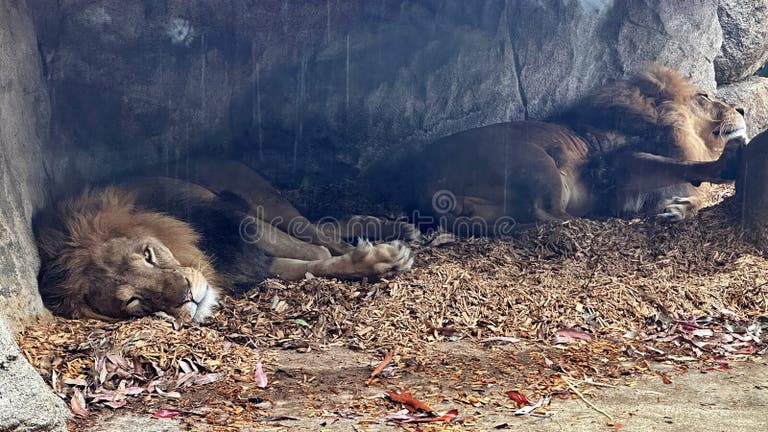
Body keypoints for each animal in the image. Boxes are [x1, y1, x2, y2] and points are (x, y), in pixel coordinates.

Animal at [35, 160, 416, 323]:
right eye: (132, 301)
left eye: (148, 255)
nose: (188, 295)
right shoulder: (249, 261)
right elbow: (309, 264)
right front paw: (371, 260)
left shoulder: (234, 219)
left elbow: (317, 250)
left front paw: (381, 259)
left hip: (263, 200)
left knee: (317, 229)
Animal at [384, 65, 747, 235]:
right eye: (704, 96)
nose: (743, 109)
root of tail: (416, 181)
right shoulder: (619, 168)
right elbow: (673, 165)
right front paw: (723, 165)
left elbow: (691, 192)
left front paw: (681, 207)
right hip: (536, 160)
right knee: (549, 216)